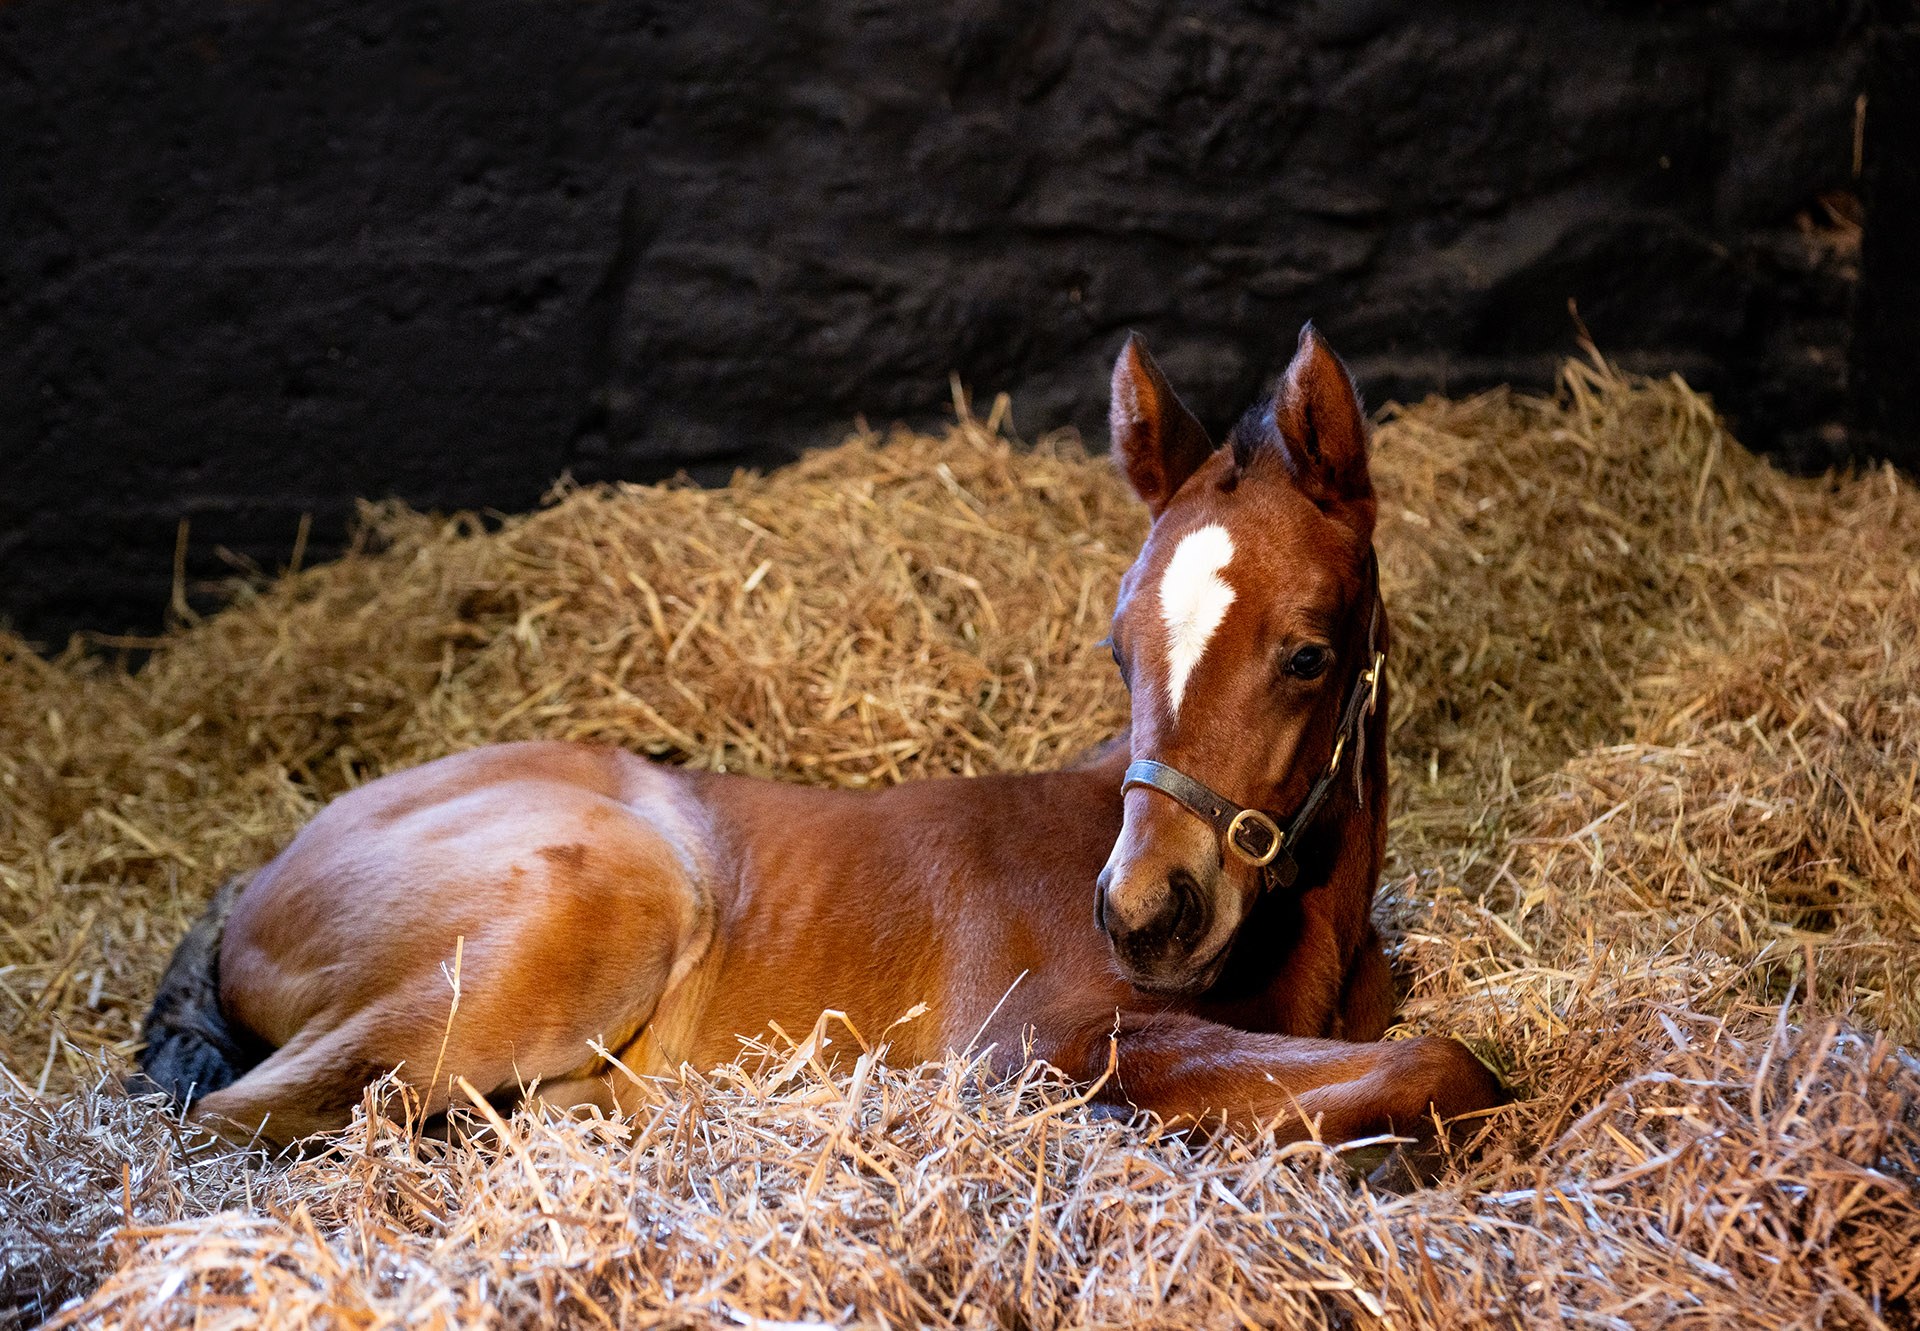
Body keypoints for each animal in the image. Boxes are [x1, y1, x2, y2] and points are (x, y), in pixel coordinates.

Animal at [136, 326, 1505, 1150]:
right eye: (1121, 652)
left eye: (1309, 654)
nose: (1143, 913)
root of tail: (261, 874)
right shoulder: (1038, 1045)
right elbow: (1447, 1064)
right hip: (600, 897)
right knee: (260, 1117)